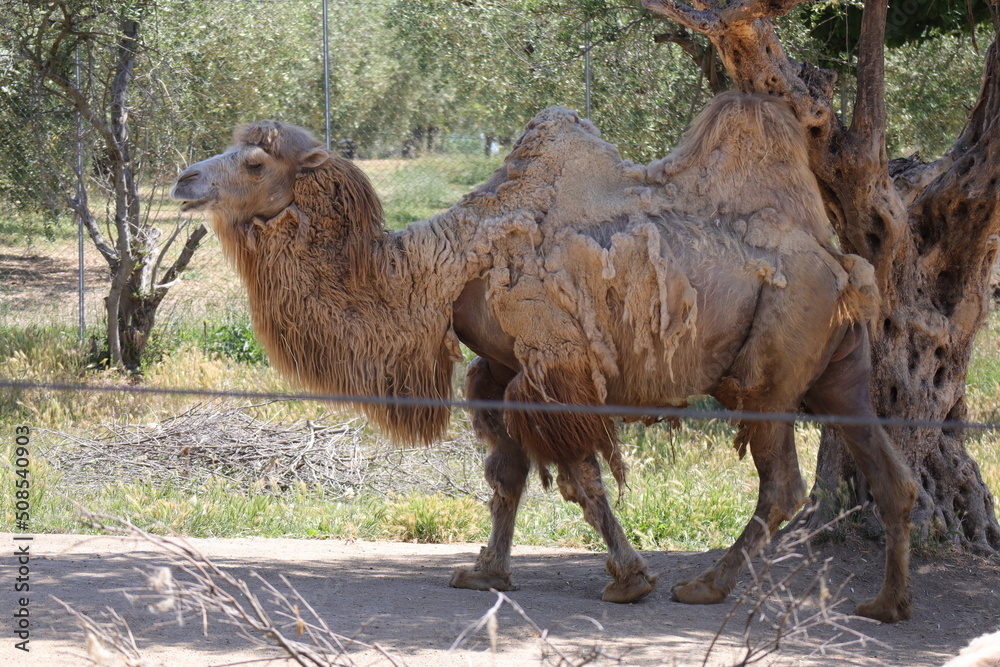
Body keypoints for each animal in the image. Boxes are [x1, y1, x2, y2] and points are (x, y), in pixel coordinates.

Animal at [170, 92, 918, 623]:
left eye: (255, 161)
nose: (183, 179)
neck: (444, 269)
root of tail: (837, 261)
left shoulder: (556, 363)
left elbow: (582, 478)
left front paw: (630, 579)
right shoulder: (502, 369)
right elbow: (506, 476)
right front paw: (485, 572)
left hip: (775, 360)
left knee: (782, 479)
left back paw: (707, 585)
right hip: (842, 366)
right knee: (890, 473)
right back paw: (886, 604)